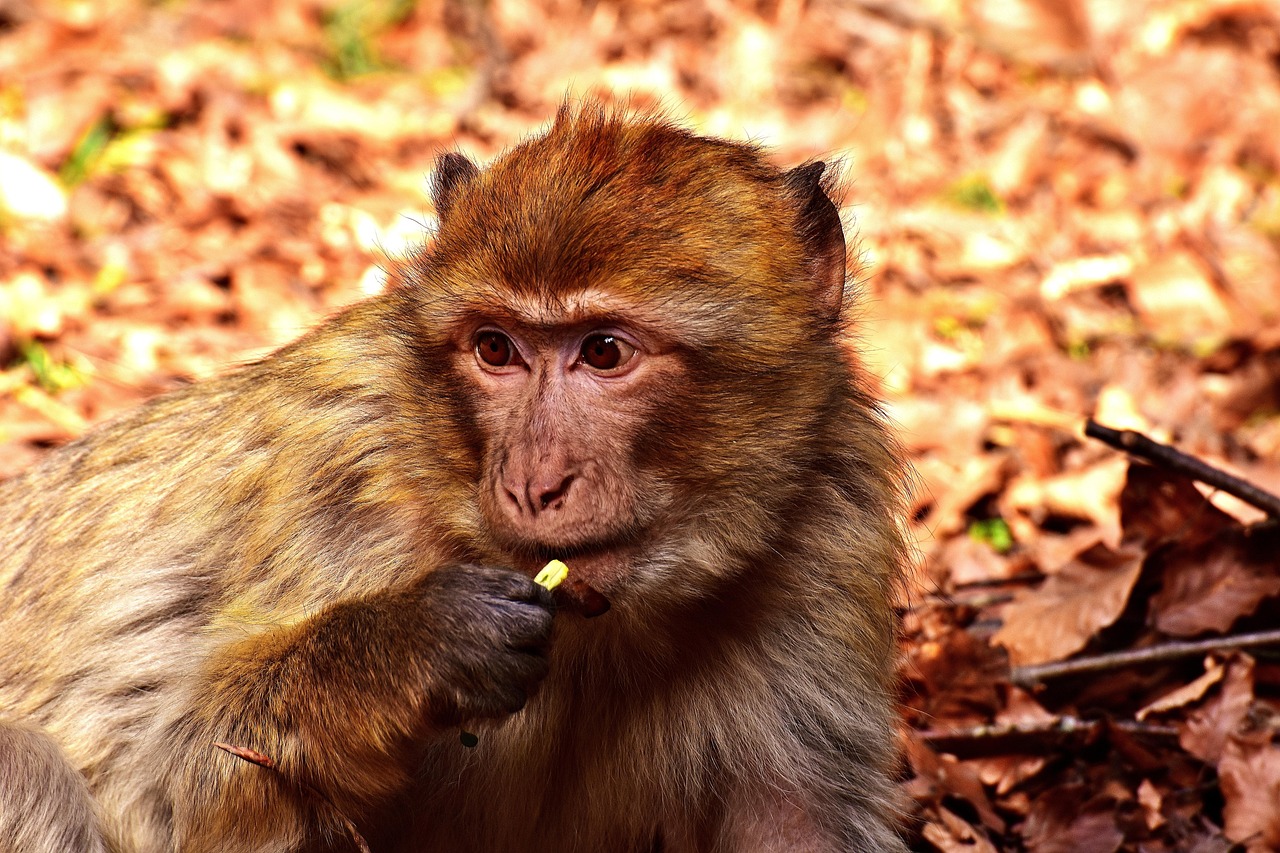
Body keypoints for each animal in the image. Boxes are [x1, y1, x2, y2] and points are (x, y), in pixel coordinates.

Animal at [0, 104, 909, 852]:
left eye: (604, 351)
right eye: (495, 348)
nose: (534, 484)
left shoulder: (826, 526)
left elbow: (793, 823)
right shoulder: (342, 490)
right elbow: (160, 786)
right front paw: (412, 644)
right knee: (36, 774)